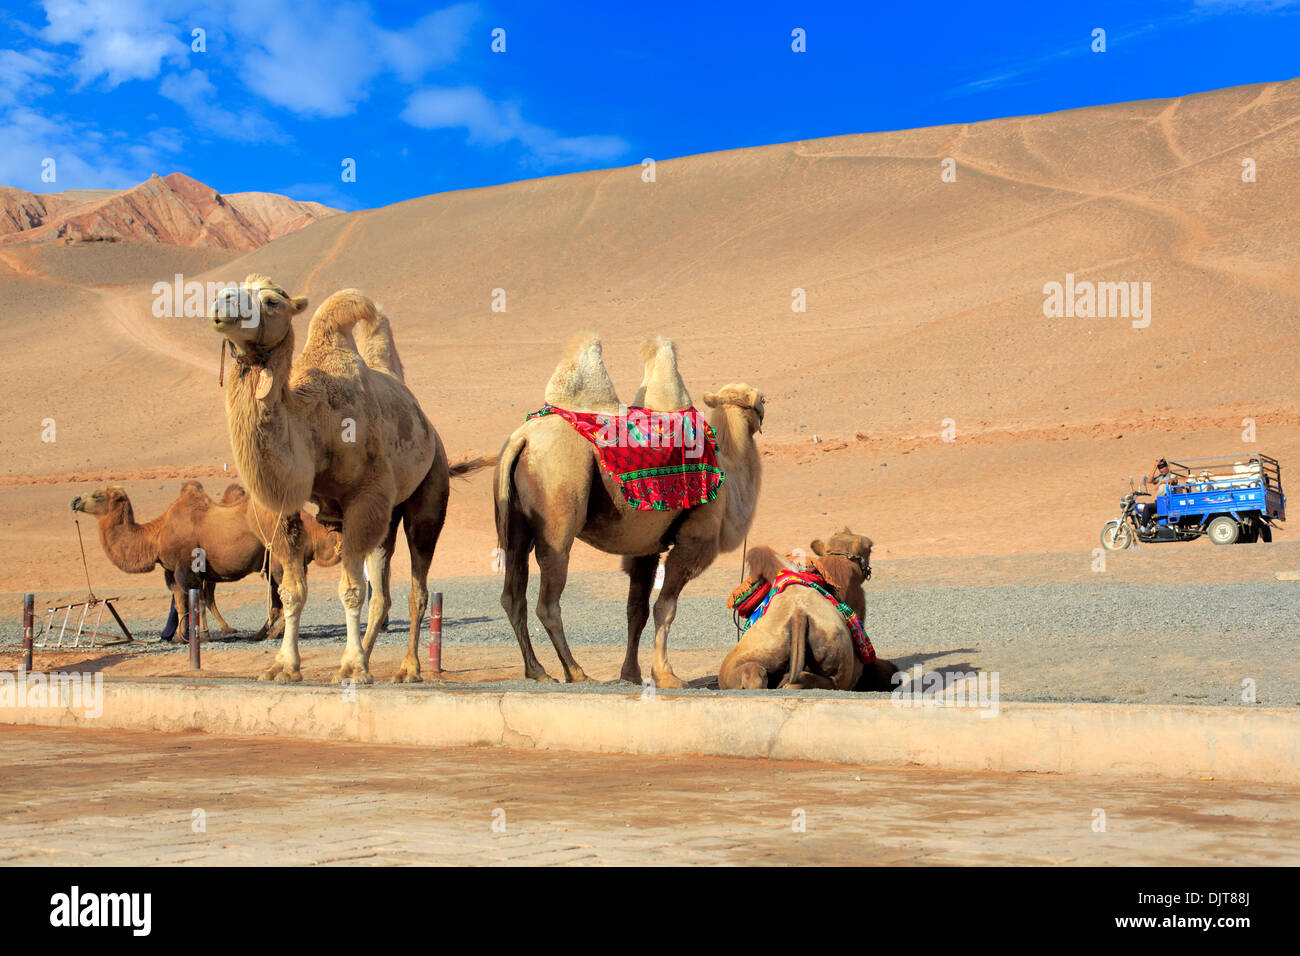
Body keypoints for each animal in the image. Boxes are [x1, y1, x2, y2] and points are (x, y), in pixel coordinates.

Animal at [70, 482, 341, 642]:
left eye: (97, 495)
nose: (74, 501)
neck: (156, 534)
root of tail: (309, 524)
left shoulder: (187, 568)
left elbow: (195, 601)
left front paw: (201, 636)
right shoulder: (172, 571)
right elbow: (183, 602)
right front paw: (181, 637)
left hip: (280, 560)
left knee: (290, 594)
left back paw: (271, 635)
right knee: (280, 599)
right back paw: (260, 633)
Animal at [210, 274, 492, 684]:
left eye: (273, 302)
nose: (222, 301)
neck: (313, 423)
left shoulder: (365, 497)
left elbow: (352, 590)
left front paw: (352, 666)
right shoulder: (284, 509)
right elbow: (293, 590)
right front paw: (284, 666)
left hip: (428, 491)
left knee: (417, 588)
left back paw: (407, 669)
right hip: (387, 517)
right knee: (382, 593)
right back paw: (369, 658)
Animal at [495, 332, 765, 687]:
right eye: (759, 400)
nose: (764, 406)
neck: (729, 475)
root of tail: (522, 439)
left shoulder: (645, 548)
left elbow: (636, 611)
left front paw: (632, 674)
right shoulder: (694, 540)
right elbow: (665, 607)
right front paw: (666, 675)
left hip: (514, 522)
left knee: (513, 595)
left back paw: (538, 671)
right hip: (559, 496)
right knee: (548, 601)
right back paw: (576, 672)